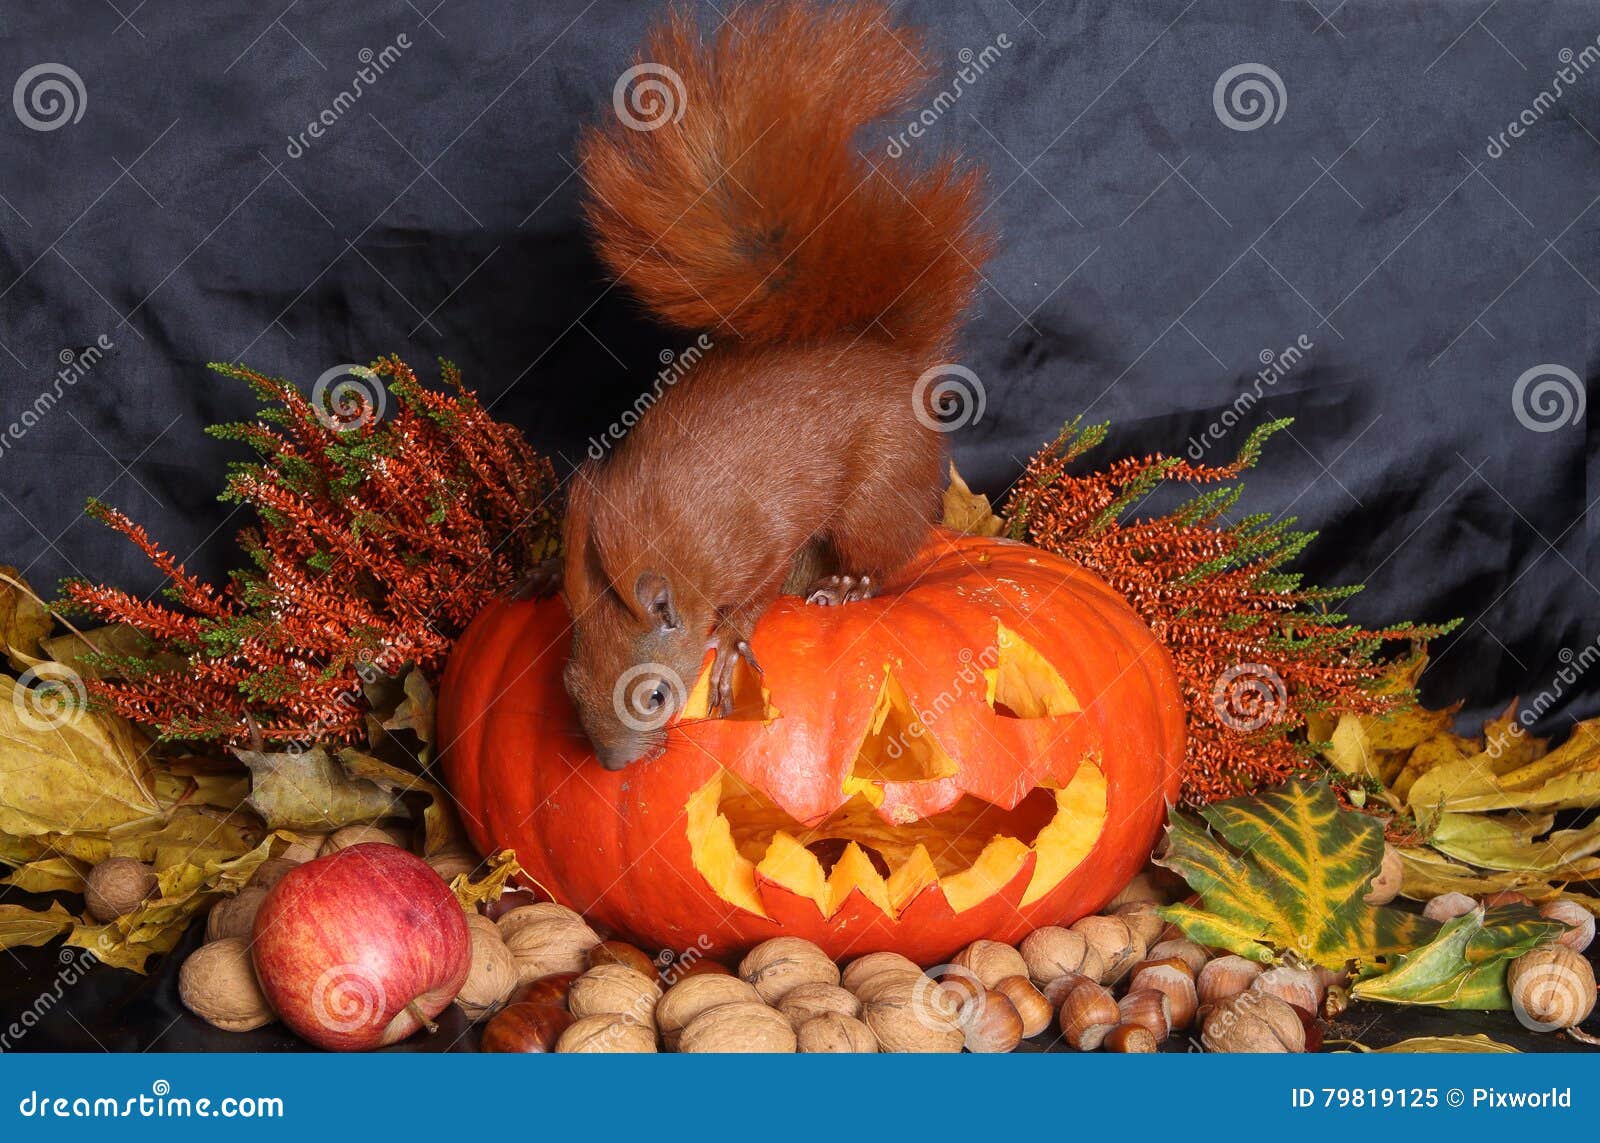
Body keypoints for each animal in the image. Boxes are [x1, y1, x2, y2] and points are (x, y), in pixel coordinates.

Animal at [541, 0, 991, 769]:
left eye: (653, 696)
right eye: (568, 685)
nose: (613, 764)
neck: (669, 544)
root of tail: (893, 360)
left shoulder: (757, 538)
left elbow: (757, 590)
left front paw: (729, 640)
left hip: (879, 488)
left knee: (885, 549)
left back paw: (848, 586)